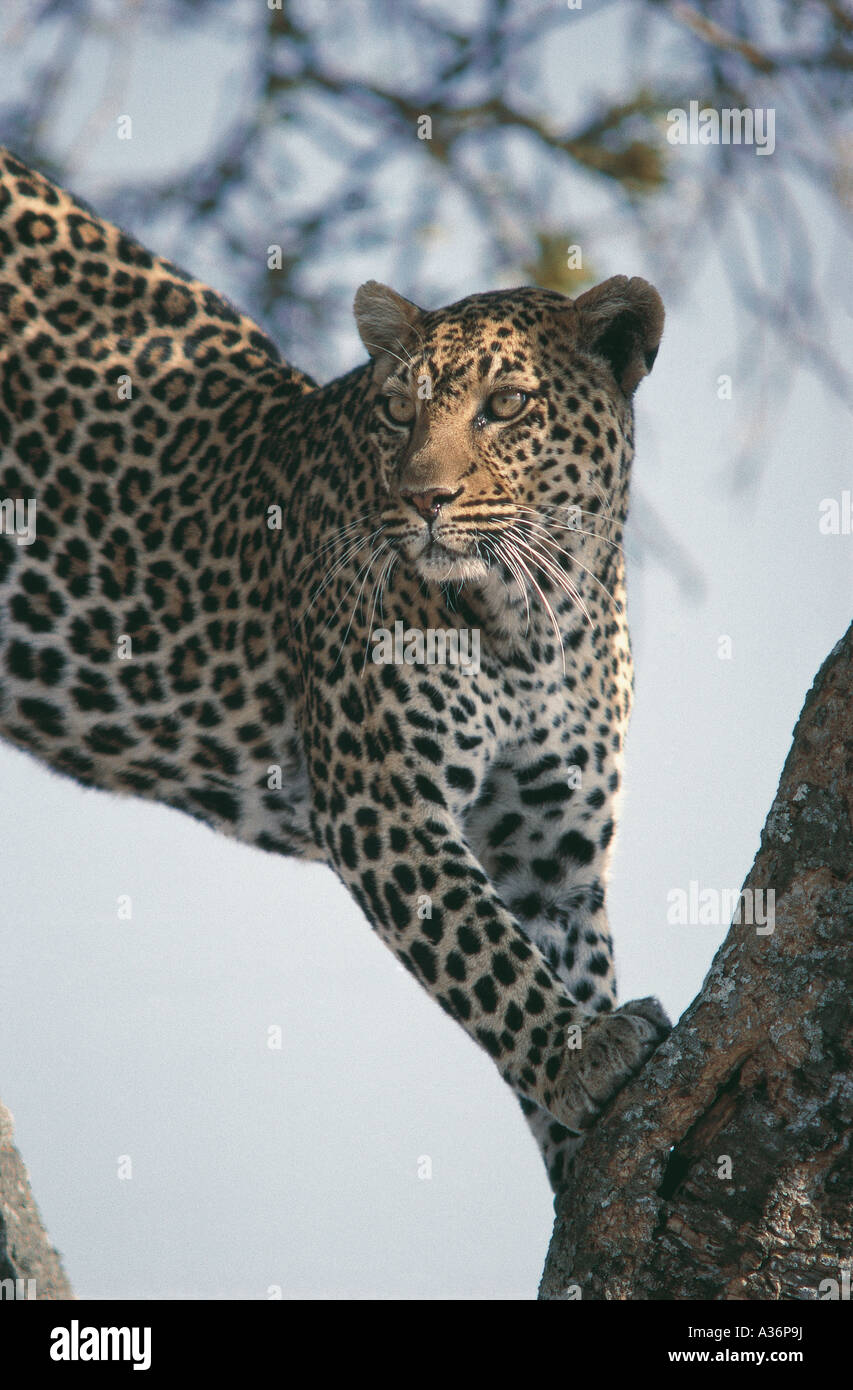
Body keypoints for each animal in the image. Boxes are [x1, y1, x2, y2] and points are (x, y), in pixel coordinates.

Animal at [0, 146, 669, 1194]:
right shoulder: (381, 804)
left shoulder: (549, 841)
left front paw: (577, 1137)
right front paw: (578, 1052)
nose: (424, 498)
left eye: (507, 406)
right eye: (398, 410)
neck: (538, 612)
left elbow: (565, 954)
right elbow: (488, 957)